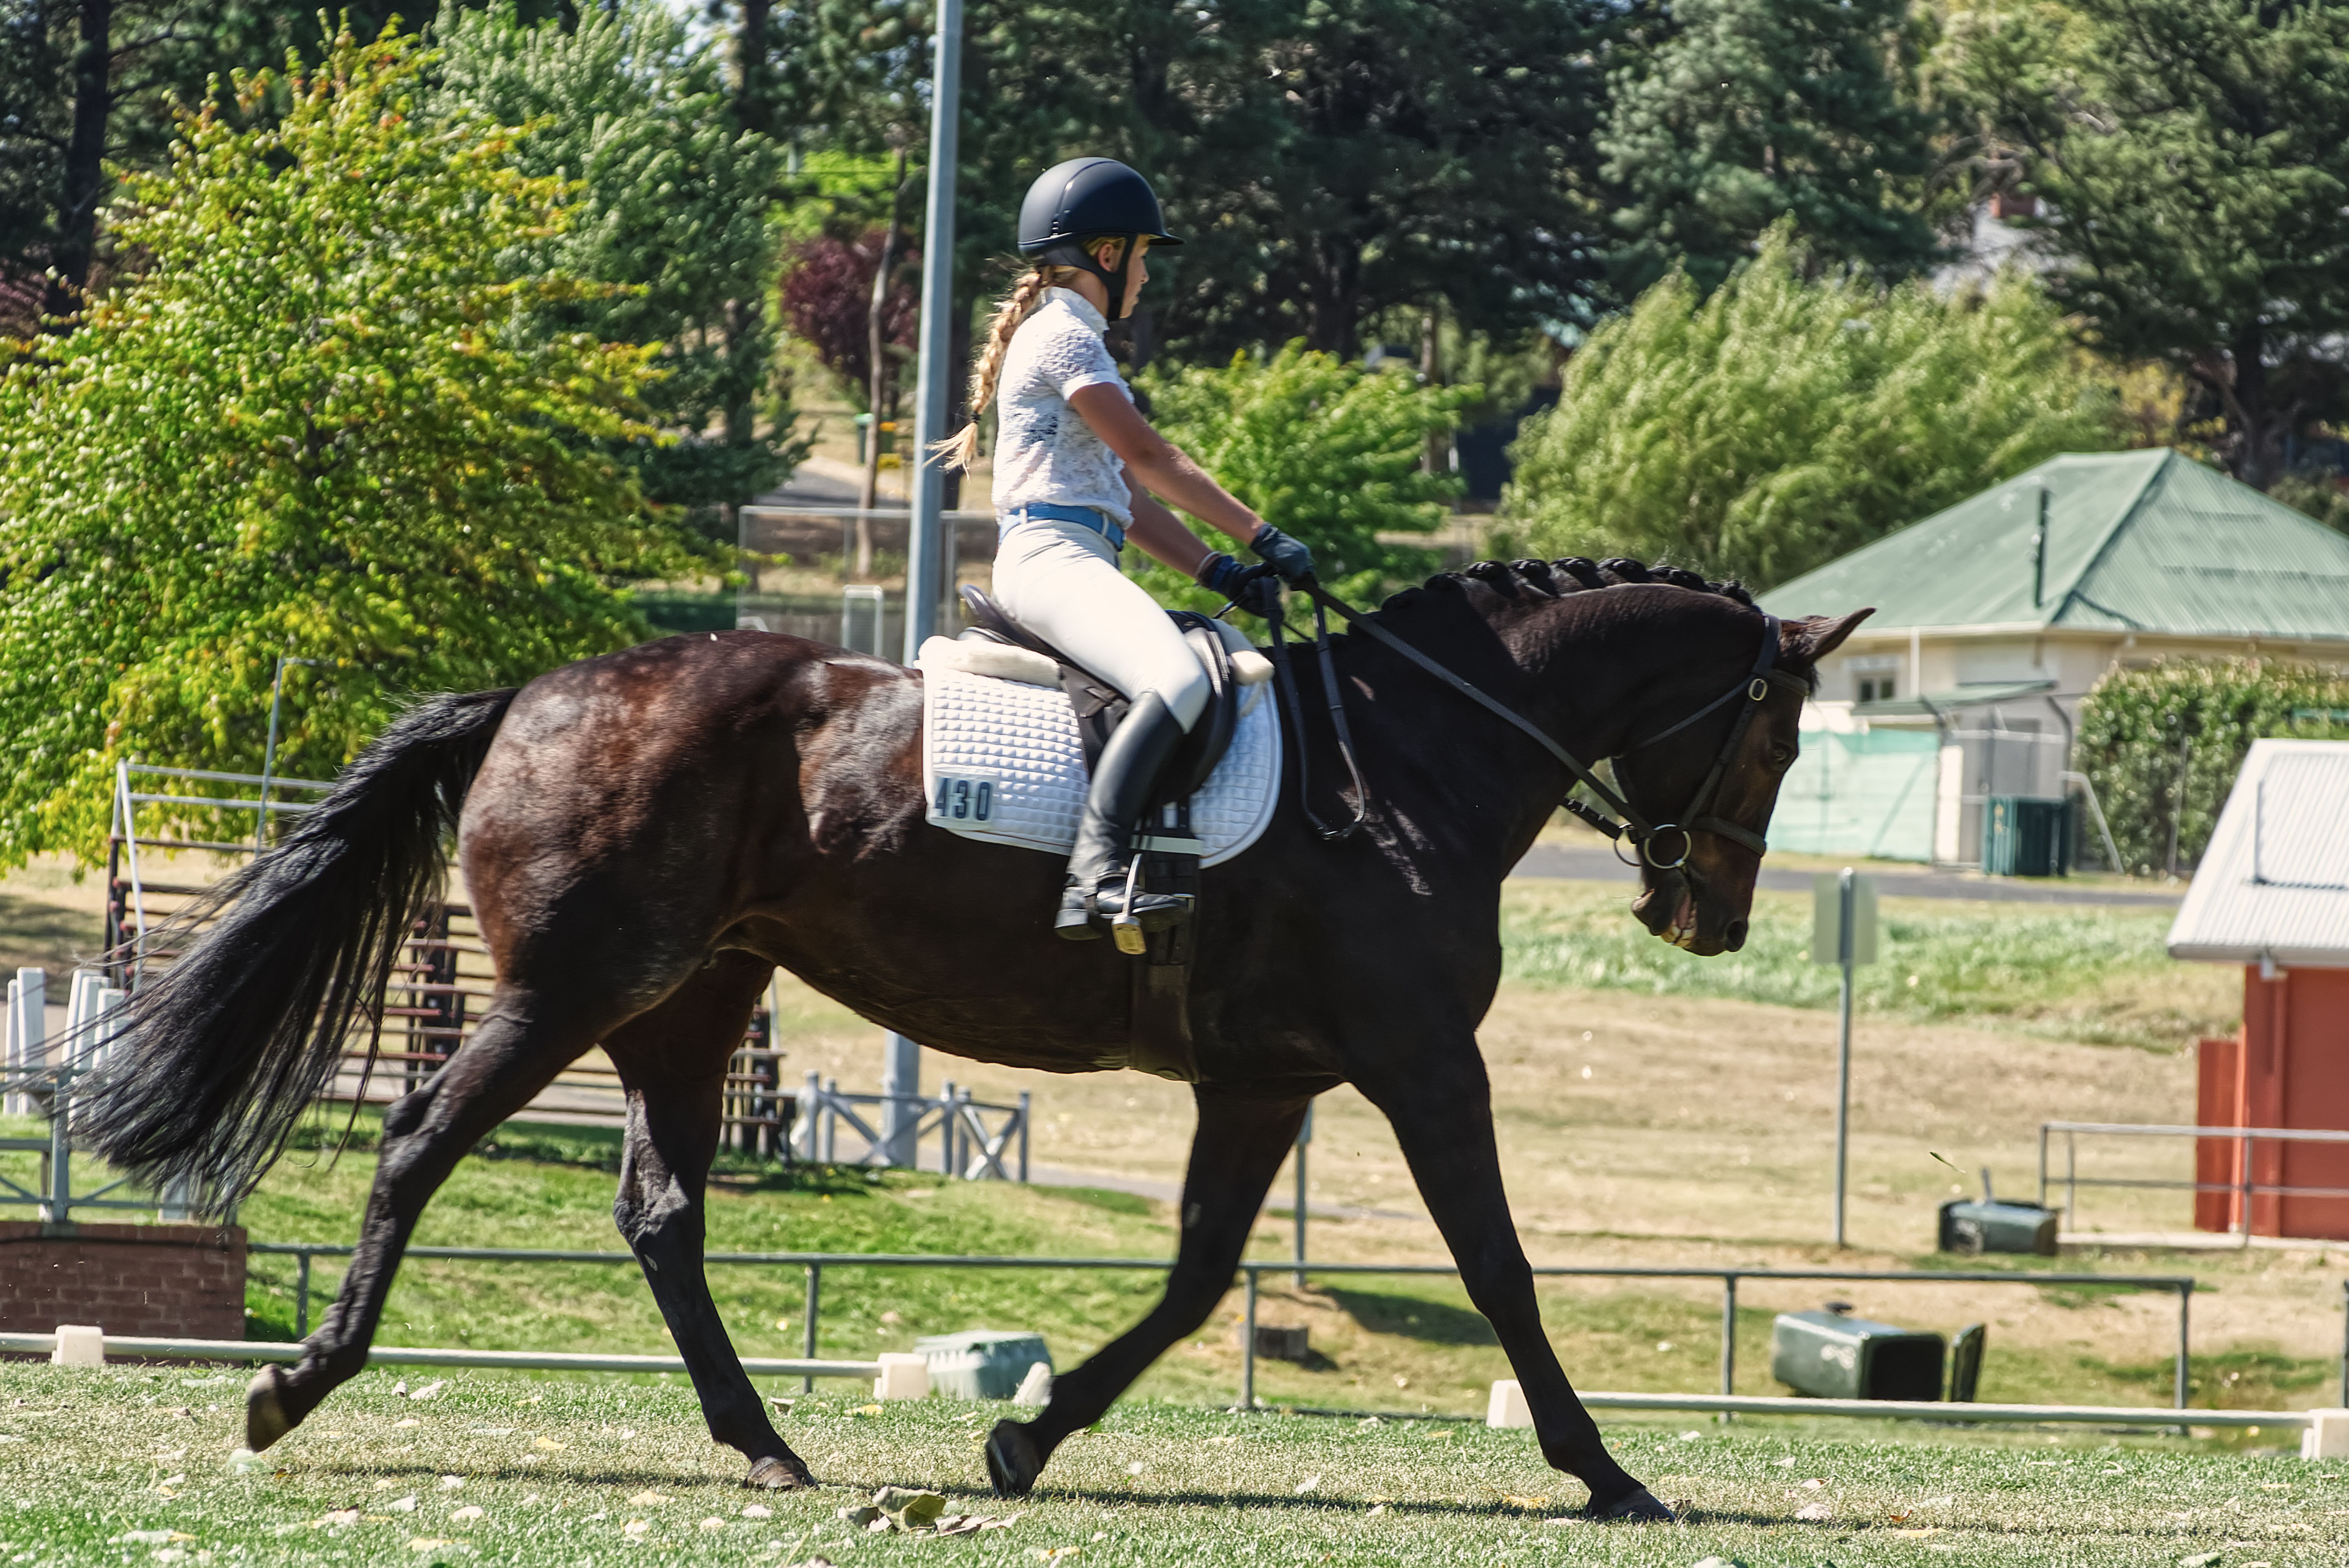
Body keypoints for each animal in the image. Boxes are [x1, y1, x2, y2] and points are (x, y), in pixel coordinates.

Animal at [80, 555, 1866, 1521]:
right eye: (1779, 736)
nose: (1710, 920)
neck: (1413, 761)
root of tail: (531, 690)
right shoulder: (1423, 1058)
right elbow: (1497, 1264)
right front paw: (1605, 1469)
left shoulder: (1265, 1077)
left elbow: (1200, 1274)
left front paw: (1022, 1432)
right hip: (570, 990)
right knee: (421, 1139)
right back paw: (297, 1384)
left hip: (689, 1000)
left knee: (662, 1212)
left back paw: (765, 1445)